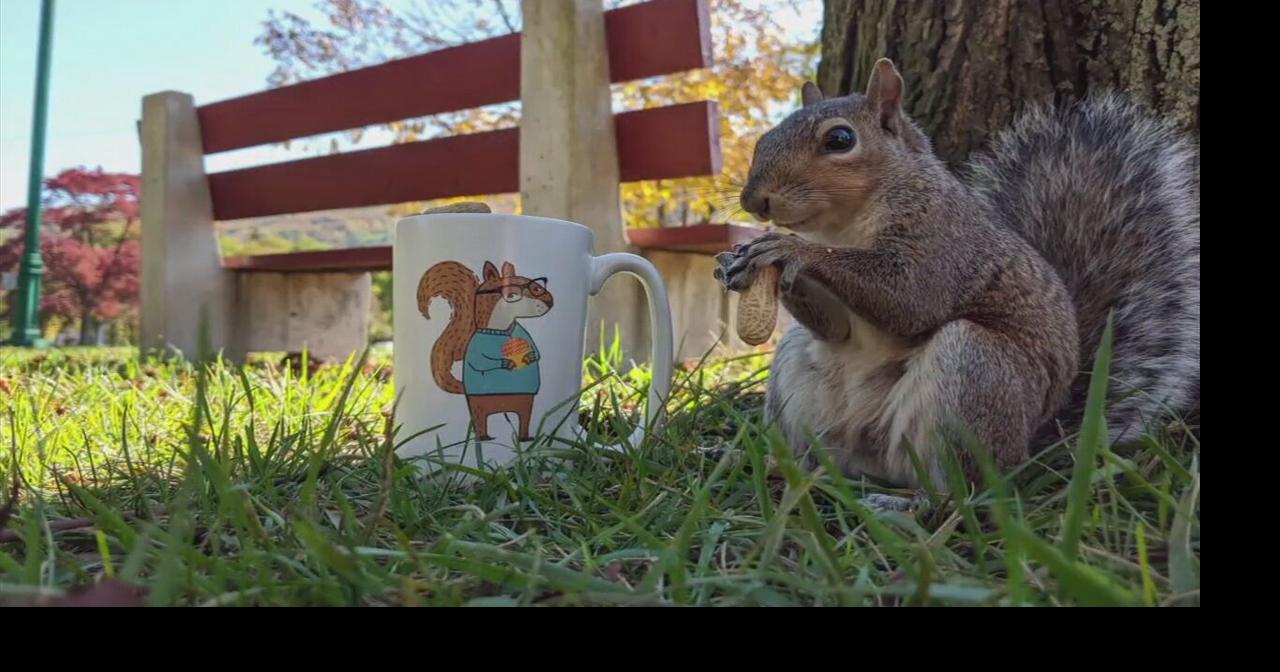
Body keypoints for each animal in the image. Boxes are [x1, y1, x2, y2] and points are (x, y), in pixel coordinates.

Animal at [418, 260, 553, 440]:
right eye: (512, 295)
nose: (550, 301)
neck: (501, 330)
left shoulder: (524, 335)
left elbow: (536, 352)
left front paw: (529, 357)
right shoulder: (476, 345)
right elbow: (480, 361)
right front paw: (506, 363)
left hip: (524, 402)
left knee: (524, 416)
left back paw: (523, 438)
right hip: (479, 405)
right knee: (480, 418)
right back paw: (484, 437)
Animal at [715, 58, 1199, 490]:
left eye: (840, 139)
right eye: (765, 138)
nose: (754, 200)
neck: (843, 226)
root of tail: (1027, 448)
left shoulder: (945, 243)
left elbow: (910, 298)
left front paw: (791, 249)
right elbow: (836, 327)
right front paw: (739, 262)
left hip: (974, 371)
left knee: (961, 492)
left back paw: (904, 506)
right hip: (799, 372)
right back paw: (779, 467)